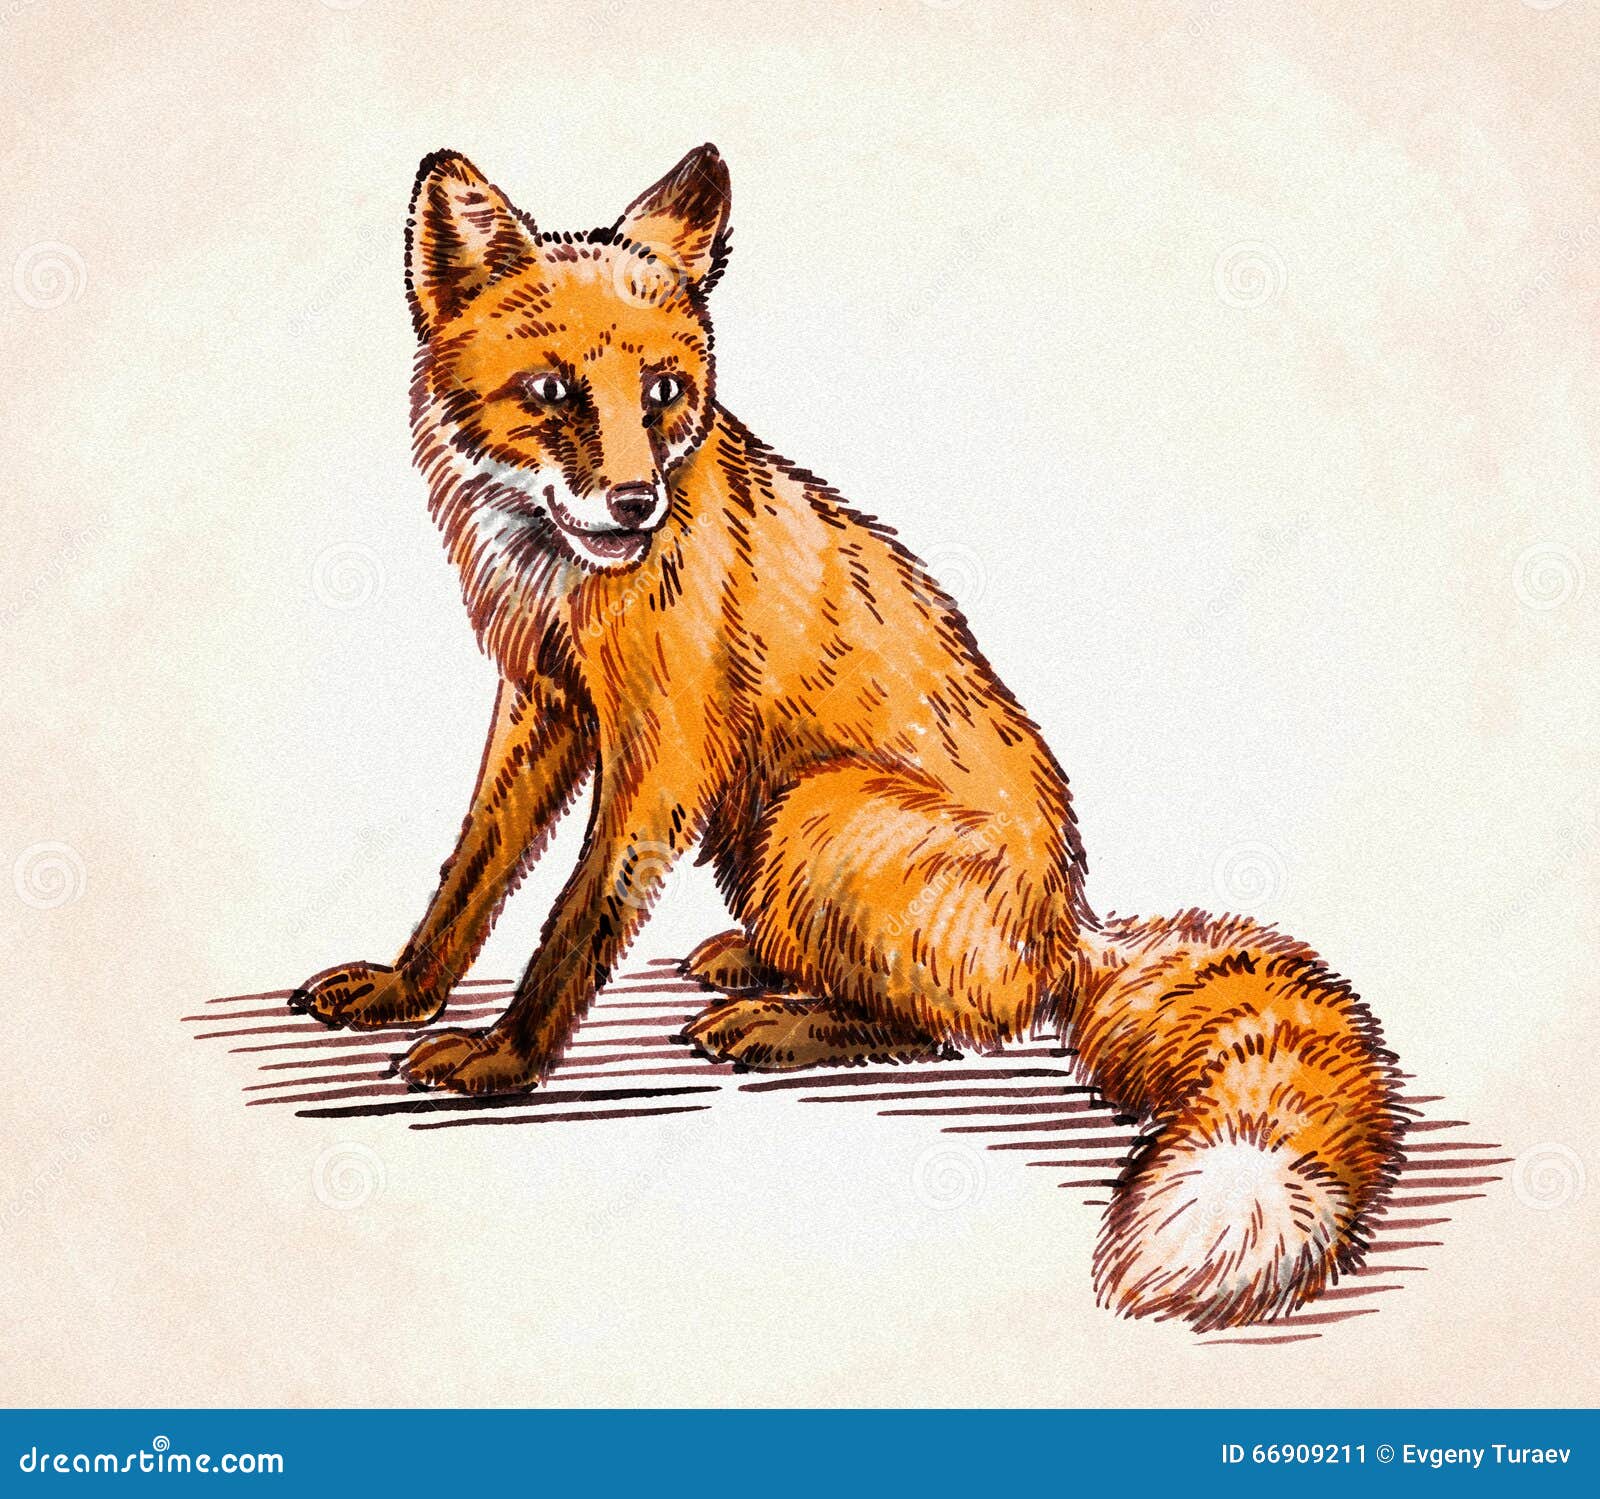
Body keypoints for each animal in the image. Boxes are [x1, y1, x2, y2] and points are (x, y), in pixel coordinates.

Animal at [291, 144, 1403, 1331]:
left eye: (664, 391)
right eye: (552, 391)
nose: (636, 504)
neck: (557, 577)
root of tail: (1071, 929)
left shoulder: (660, 756)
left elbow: (572, 928)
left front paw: (505, 1058)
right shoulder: (539, 709)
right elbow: (468, 880)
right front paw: (403, 992)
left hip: (812, 814)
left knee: (947, 1029)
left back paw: (785, 1023)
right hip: (762, 831)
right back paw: (758, 965)